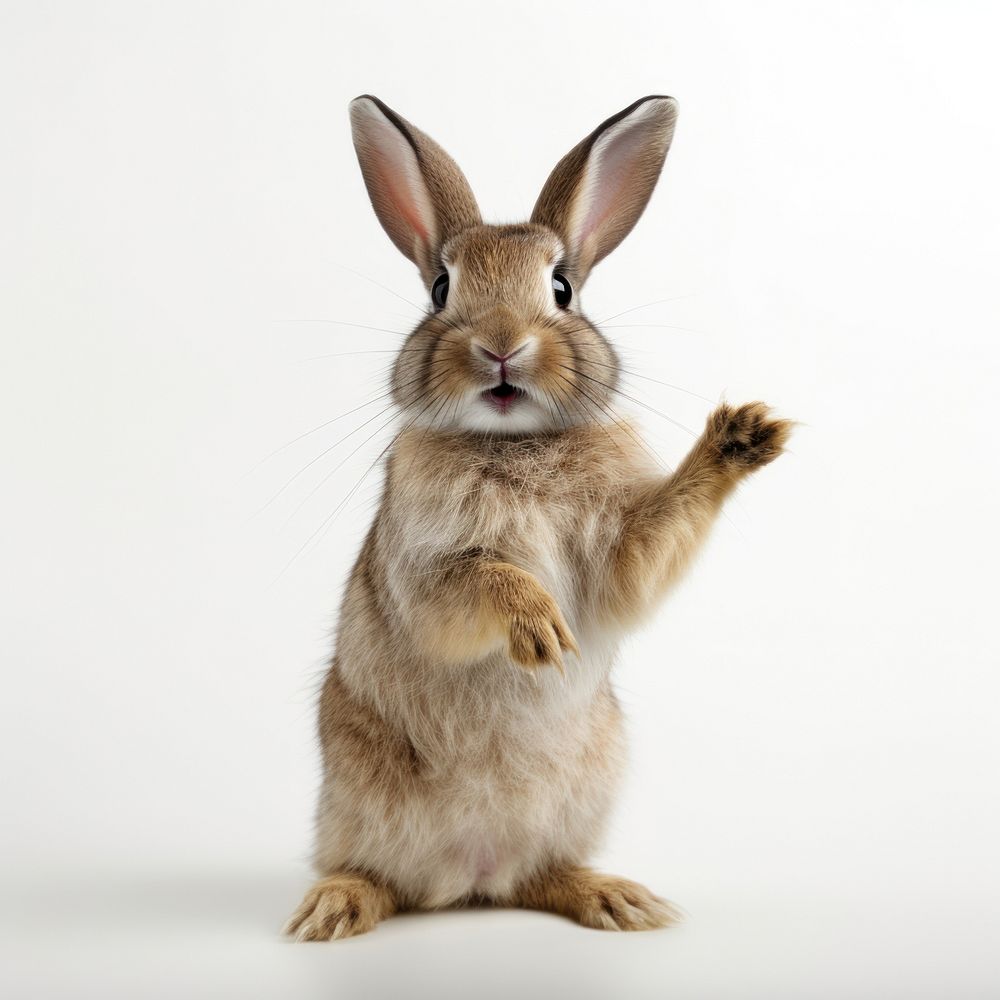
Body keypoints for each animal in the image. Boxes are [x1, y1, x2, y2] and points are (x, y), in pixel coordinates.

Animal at [284, 94, 792, 941]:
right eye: (440, 289)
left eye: (561, 289)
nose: (500, 346)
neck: (514, 444)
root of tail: (470, 877)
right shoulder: (423, 569)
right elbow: (477, 581)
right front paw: (540, 630)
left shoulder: (618, 550)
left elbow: (645, 555)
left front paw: (748, 434)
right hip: (358, 798)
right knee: (374, 875)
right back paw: (334, 908)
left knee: (541, 876)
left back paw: (617, 899)